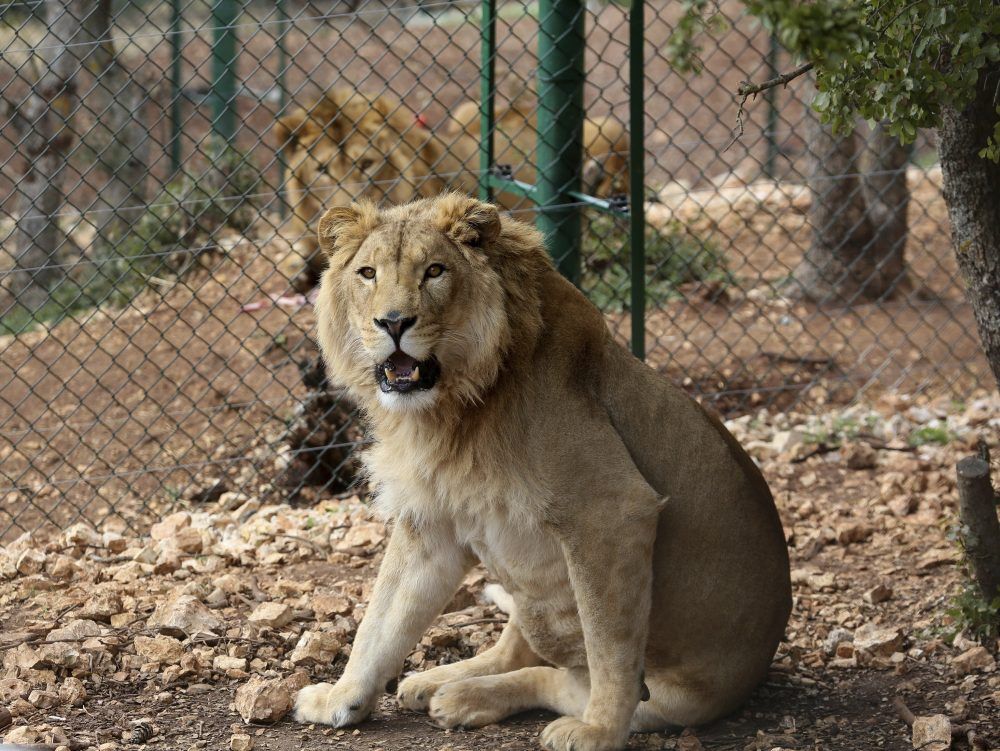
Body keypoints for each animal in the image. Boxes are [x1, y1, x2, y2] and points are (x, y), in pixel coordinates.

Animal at [292, 193, 792, 751]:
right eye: (368, 273)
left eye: (435, 271)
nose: (393, 322)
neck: (453, 410)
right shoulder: (431, 522)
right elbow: (381, 621)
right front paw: (342, 698)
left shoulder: (611, 513)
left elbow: (610, 644)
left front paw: (600, 730)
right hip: (532, 588)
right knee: (518, 647)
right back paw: (443, 682)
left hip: (669, 694)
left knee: (560, 677)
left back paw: (474, 699)